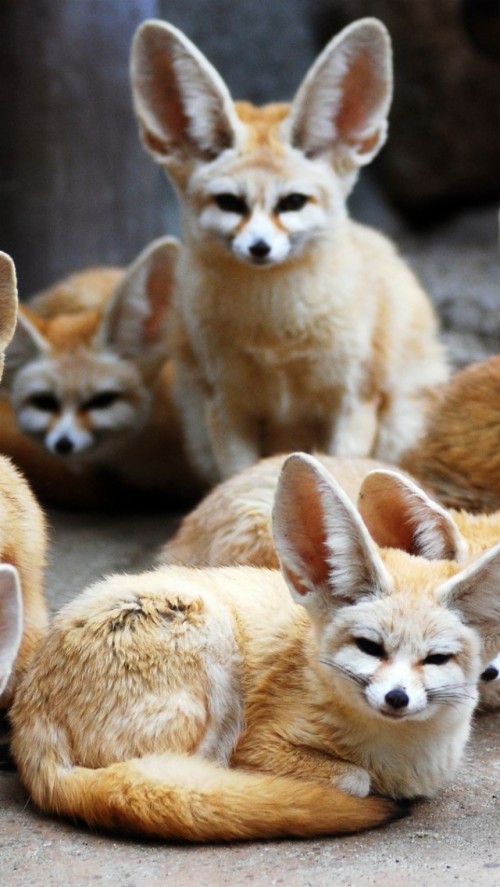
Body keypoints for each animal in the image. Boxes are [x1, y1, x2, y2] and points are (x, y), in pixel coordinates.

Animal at [129, 17, 448, 484]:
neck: (275, 332)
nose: (259, 247)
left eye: (293, 202)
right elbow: (237, 476)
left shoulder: (354, 403)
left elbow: (341, 466)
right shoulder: (227, 407)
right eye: (230, 203)